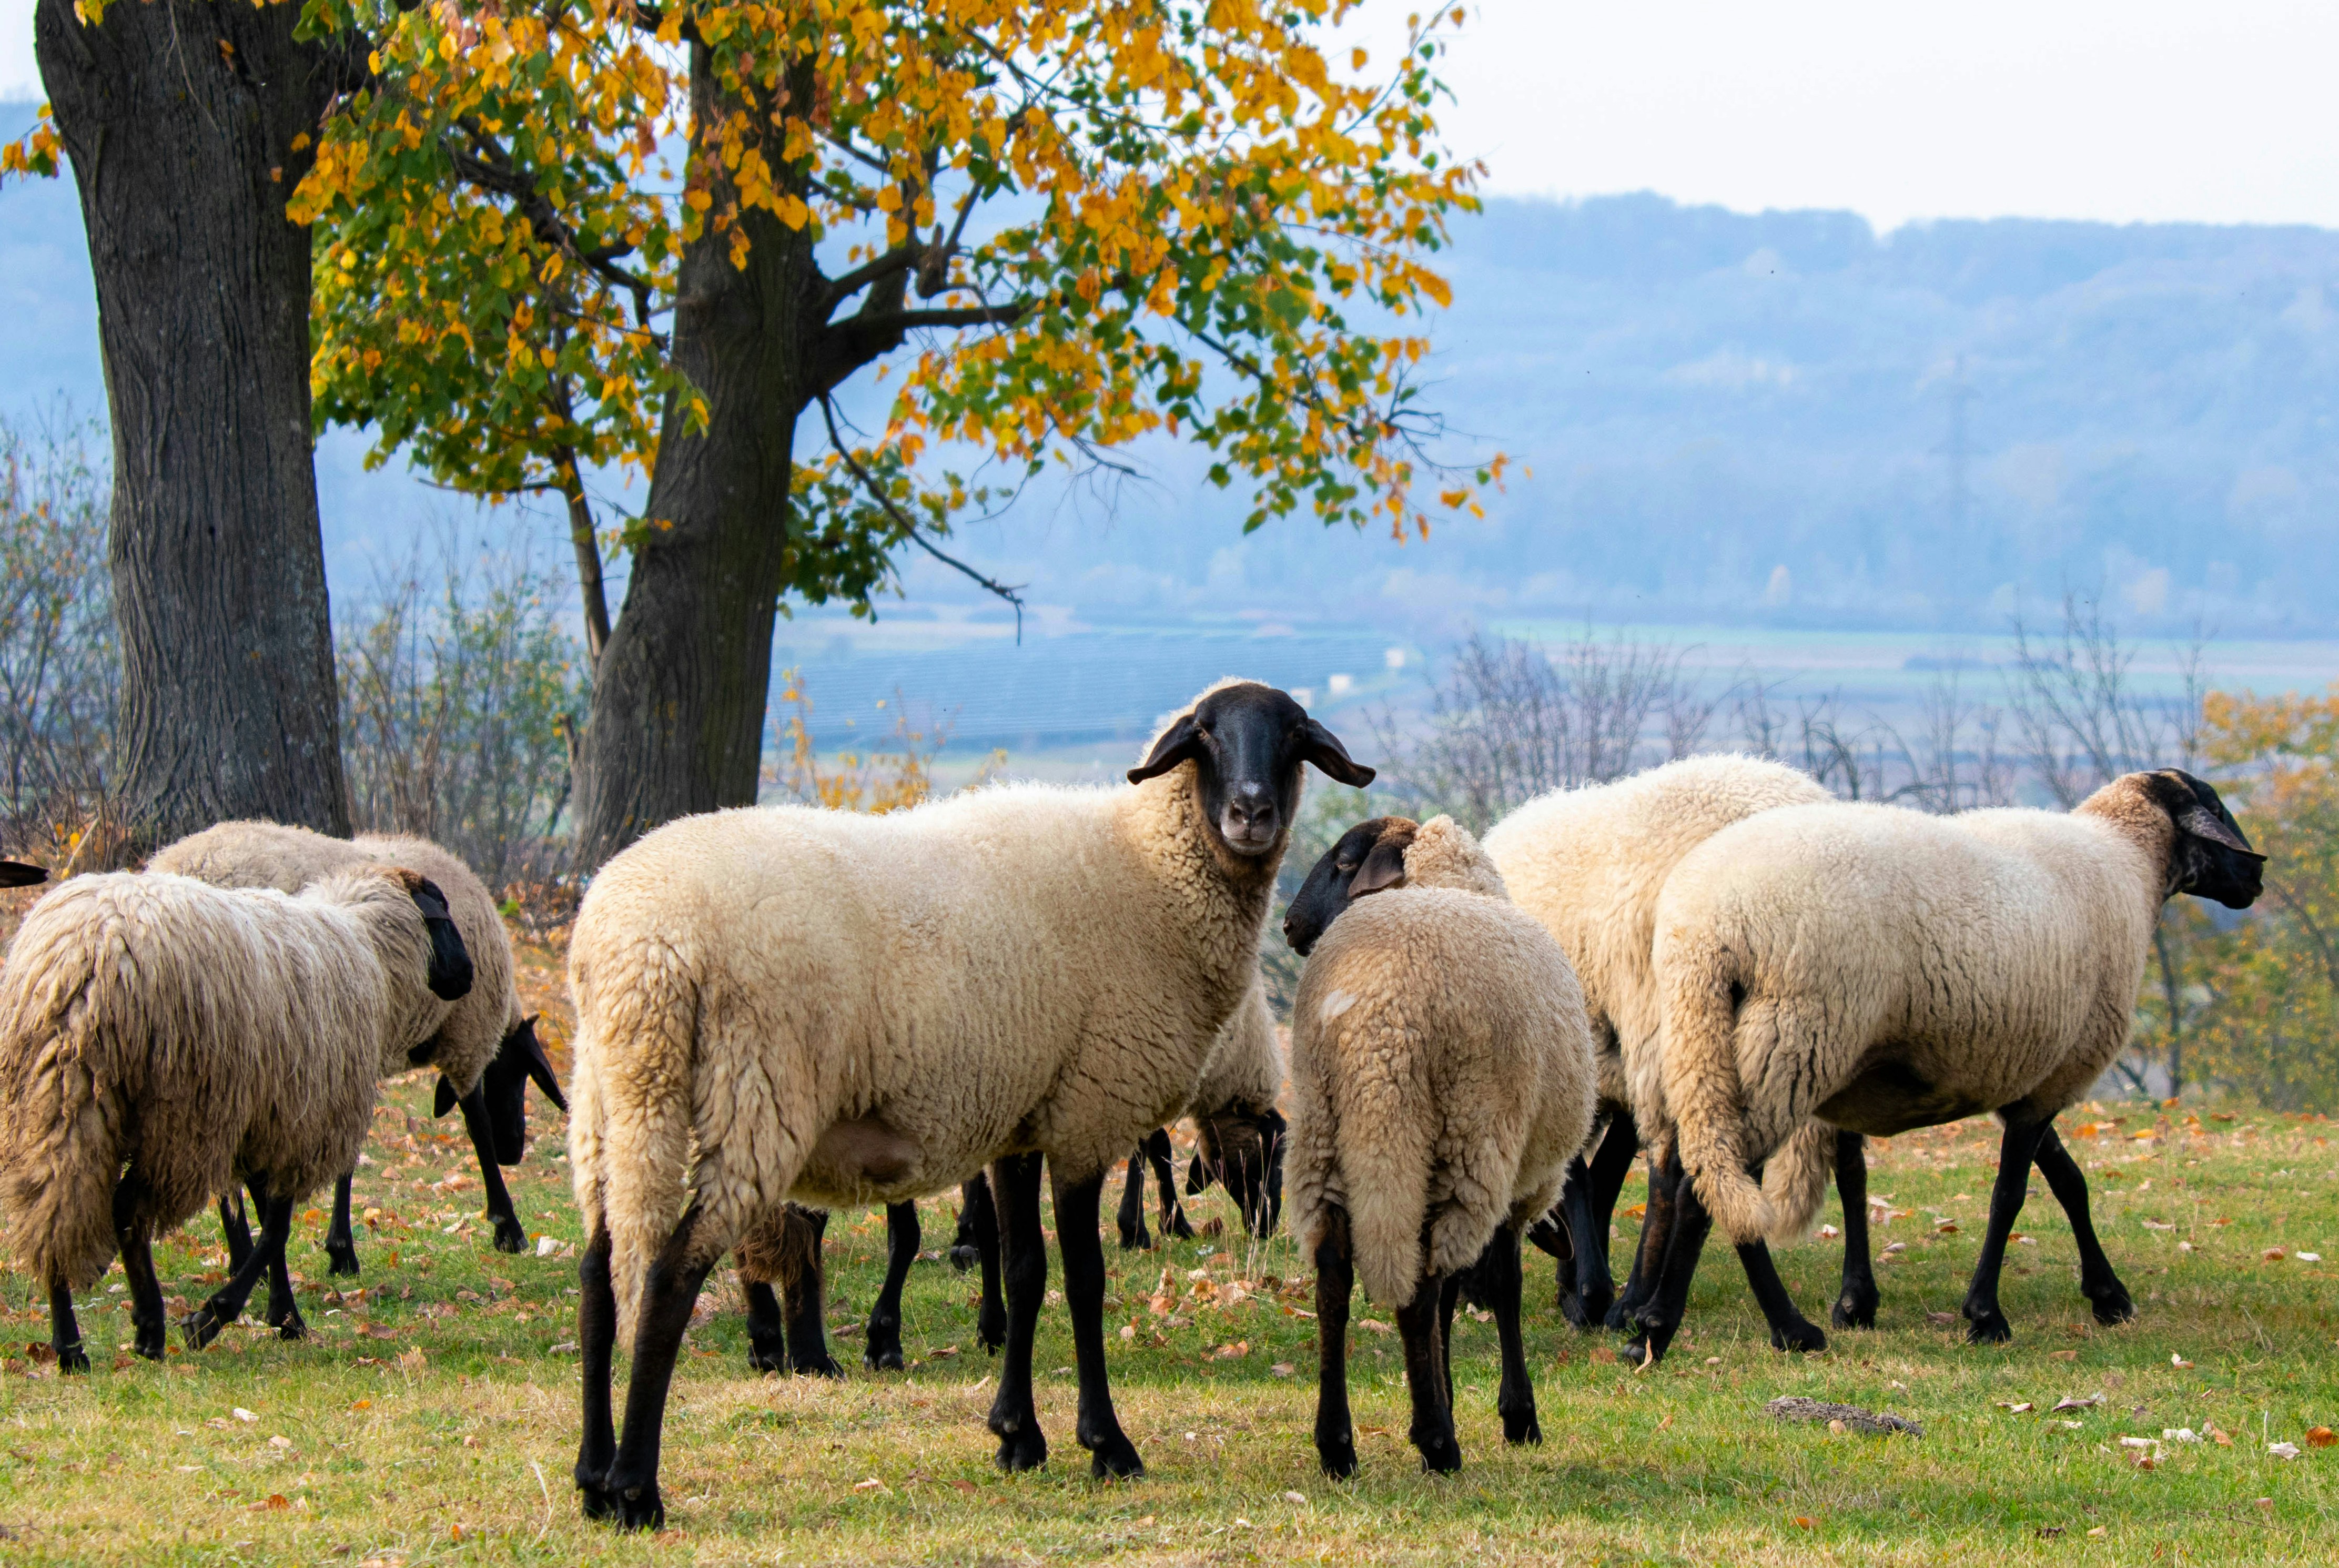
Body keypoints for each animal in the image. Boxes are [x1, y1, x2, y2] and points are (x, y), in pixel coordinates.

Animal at [0, 866, 473, 1370]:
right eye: (444, 915)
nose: (467, 976)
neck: (368, 946)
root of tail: (86, 954)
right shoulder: (301, 1125)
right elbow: (276, 1229)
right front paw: (215, 1317)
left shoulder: (267, 1122)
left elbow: (269, 1224)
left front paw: (284, 1316)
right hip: (180, 1115)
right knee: (125, 1209)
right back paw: (149, 1328)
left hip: (58, 1097)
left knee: (53, 1210)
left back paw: (70, 1346)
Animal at [149, 822, 566, 1266]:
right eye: (521, 1073)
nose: (514, 1151)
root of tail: (180, 862)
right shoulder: (464, 1035)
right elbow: (477, 1126)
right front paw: (508, 1227)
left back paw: (243, 1254)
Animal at [564, 679, 1371, 1528]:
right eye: (1206, 737)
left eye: (1293, 737)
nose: (1250, 812)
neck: (1146, 868)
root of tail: (635, 945)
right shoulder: (1084, 1114)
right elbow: (1082, 1278)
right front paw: (1105, 1444)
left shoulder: (1024, 1118)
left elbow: (1021, 1270)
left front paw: (1017, 1436)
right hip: (753, 1098)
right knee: (667, 1273)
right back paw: (637, 1488)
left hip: (612, 1100)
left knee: (596, 1272)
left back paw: (592, 1478)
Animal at [1279, 814, 1597, 1476]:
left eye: (1343, 861)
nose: (1290, 925)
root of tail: (1375, 1016)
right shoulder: (1514, 1179)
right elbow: (1501, 1284)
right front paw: (1515, 1414)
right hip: (1464, 1137)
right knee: (1420, 1290)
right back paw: (1437, 1441)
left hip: (1330, 1134)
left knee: (1333, 1285)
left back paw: (1336, 1444)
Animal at [1626, 768, 2264, 1366]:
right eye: (2215, 807)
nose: (2256, 881)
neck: (2126, 862)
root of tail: (1706, 931)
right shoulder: (2052, 1078)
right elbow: (2010, 1195)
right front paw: (1986, 1316)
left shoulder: (2030, 1076)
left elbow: (2069, 1182)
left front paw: (2108, 1296)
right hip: (1792, 1041)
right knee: (1704, 1190)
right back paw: (1751, 1330)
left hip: (1707, 1049)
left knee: (1691, 1177)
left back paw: (1671, 1325)